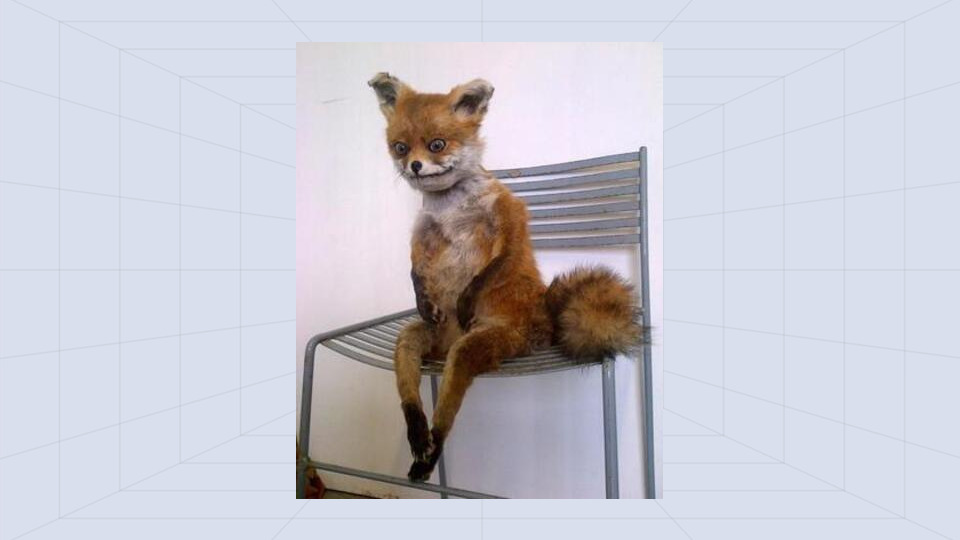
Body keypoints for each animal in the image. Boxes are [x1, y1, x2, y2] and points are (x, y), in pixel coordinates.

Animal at [368, 73, 641, 482]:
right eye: (400, 148)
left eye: (436, 144)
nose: (414, 166)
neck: (451, 210)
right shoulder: (422, 235)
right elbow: (415, 269)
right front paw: (421, 294)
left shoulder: (509, 220)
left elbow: (492, 268)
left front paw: (467, 297)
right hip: (412, 340)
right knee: (410, 393)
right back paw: (418, 437)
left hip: (475, 346)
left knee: (446, 411)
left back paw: (432, 448)